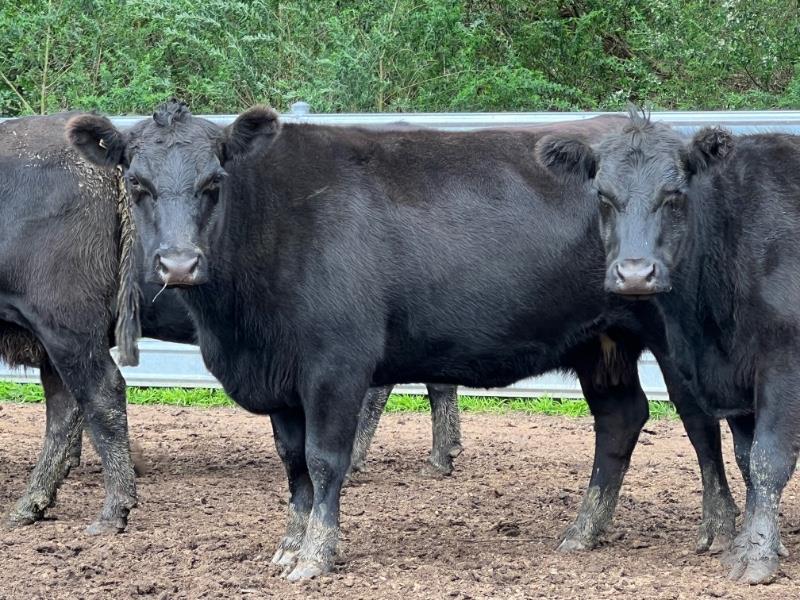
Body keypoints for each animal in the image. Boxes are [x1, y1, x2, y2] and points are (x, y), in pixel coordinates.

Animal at [67, 100, 738, 580]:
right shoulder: (281, 379)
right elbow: (293, 463)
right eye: (137, 184)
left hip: (672, 335)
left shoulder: (336, 364)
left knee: (698, 420)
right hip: (602, 343)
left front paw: (316, 557)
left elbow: (324, 459)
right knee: (621, 418)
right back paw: (582, 532)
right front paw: (289, 546)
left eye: (213, 181)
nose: (178, 264)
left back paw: (719, 529)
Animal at [536, 106, 800, 584]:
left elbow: (768, 460)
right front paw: (752, 544)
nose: (635, 274)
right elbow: (747, 459)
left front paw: (757, 556)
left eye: (674, 194)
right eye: (603, 196)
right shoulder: (733, 379)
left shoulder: (783, 365)